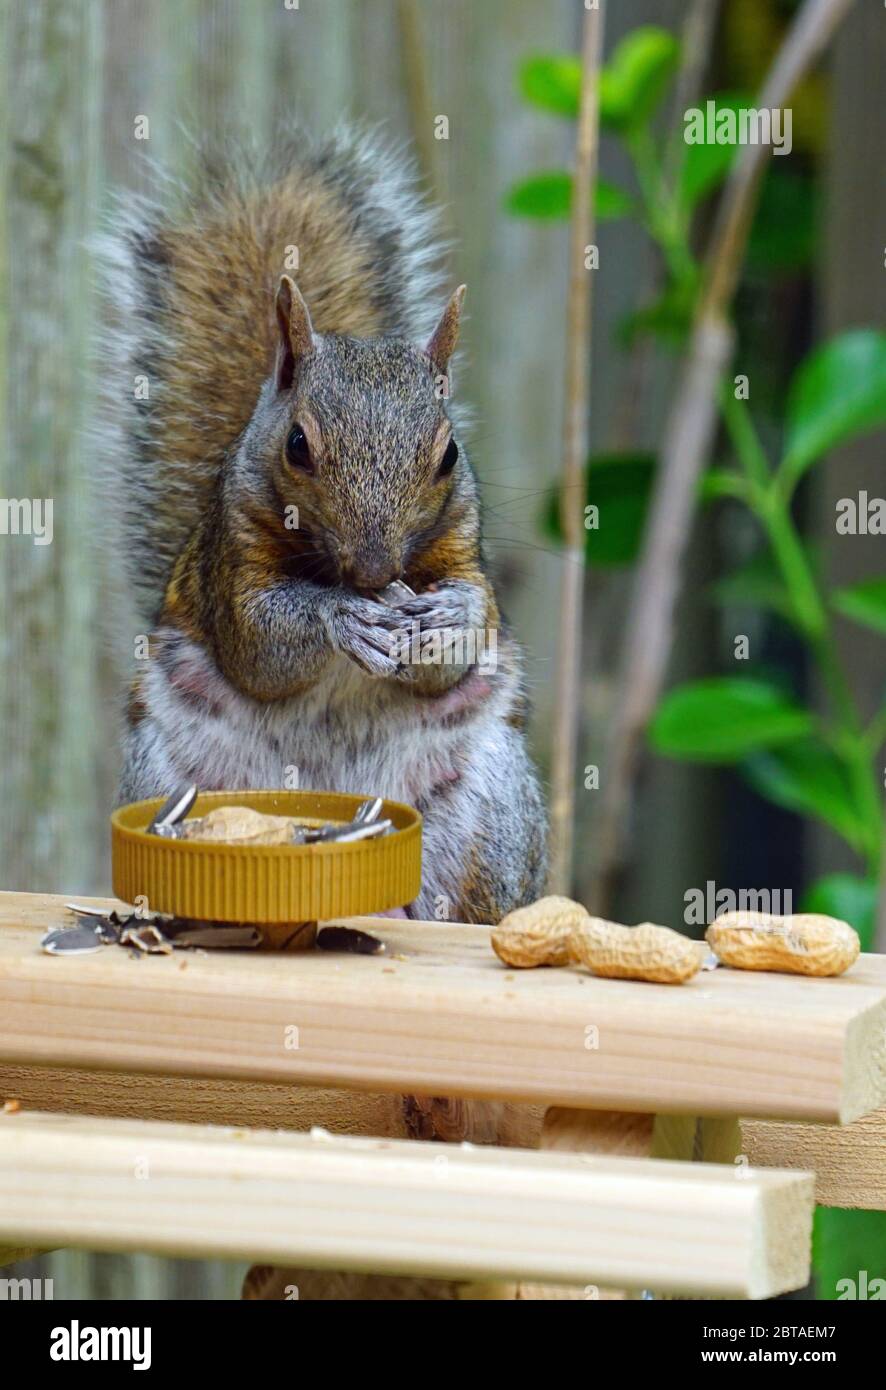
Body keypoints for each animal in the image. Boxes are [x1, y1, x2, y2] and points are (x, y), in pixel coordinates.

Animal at [99, 128, 547, 925]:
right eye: (298, 445)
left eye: (449, 453)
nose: (374, 572)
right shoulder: (232, 560)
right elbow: (262, 644)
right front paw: (343, 617)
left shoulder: (462, 542)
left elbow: (465, 638)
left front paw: (441, 618)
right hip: (167, 780)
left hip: (488, 819)